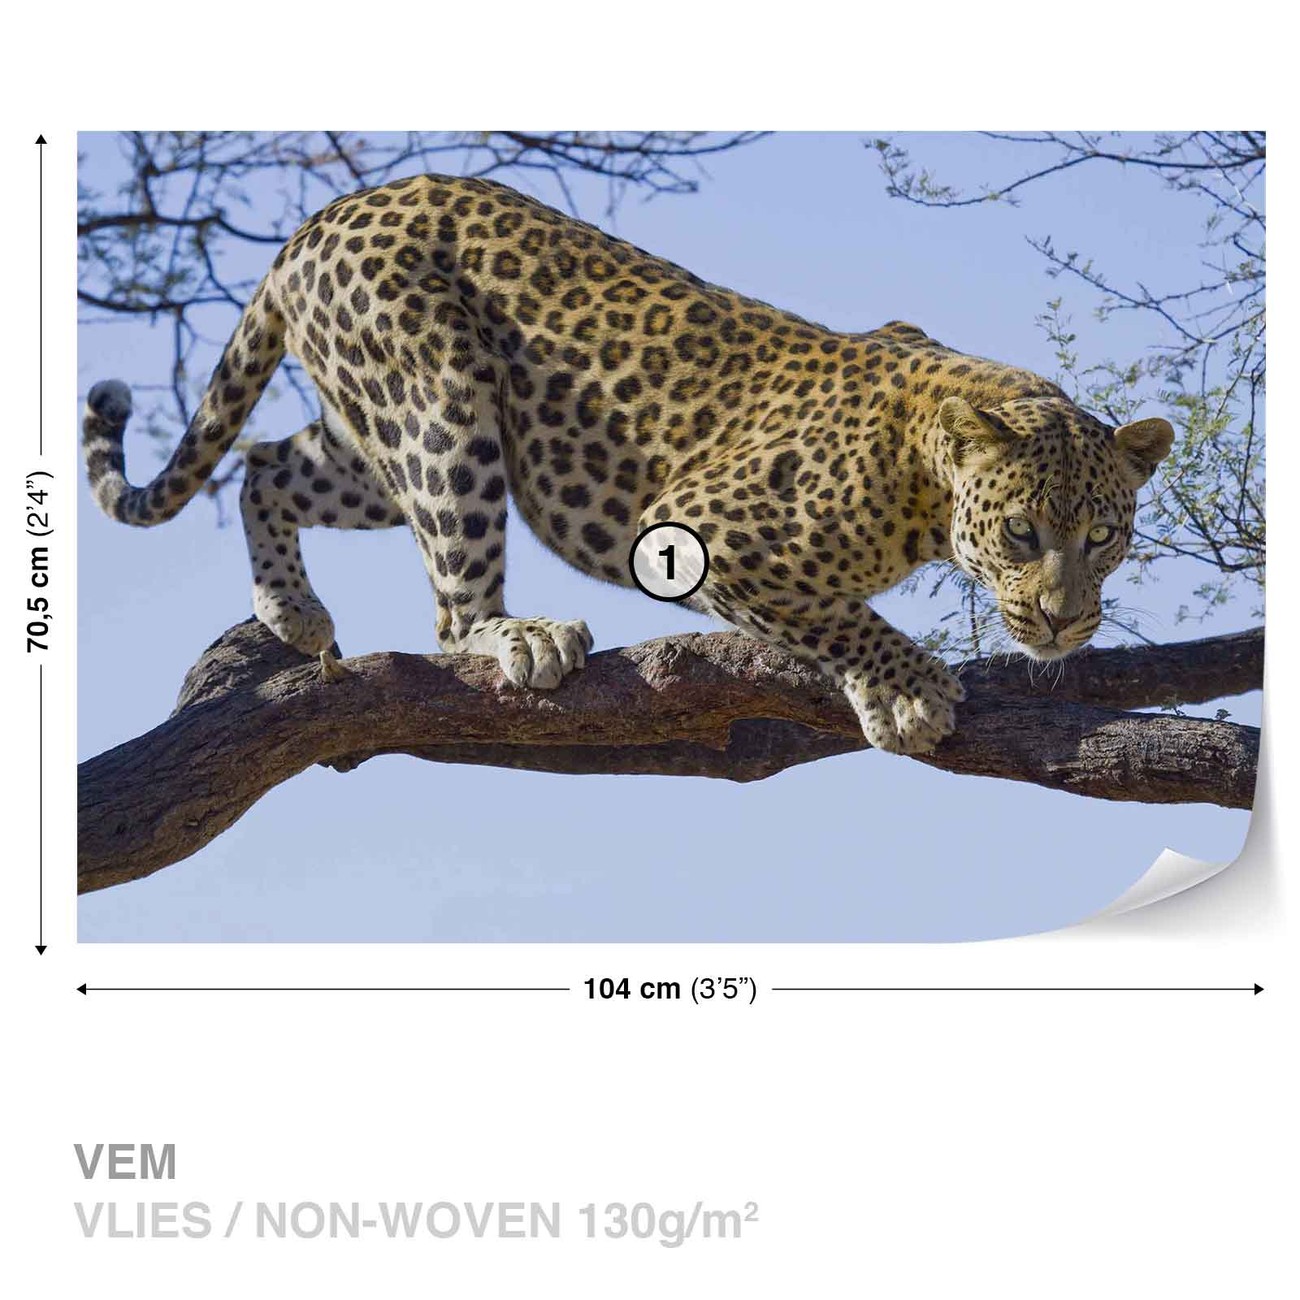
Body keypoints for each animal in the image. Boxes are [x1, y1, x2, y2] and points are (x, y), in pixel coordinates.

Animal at [82, 173, 1173, 754]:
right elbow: (836, 613)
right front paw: (906, 688)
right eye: (1021, 531)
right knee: (449, 610)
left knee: (266, 463)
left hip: (374, 434)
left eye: (1104, 535)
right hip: (443, 400)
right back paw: (518, 637)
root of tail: (320, 218)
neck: (924, 484)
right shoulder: (705, 527)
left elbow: (830, 614)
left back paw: (293, 612)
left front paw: (886, 693)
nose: (1063, 621)